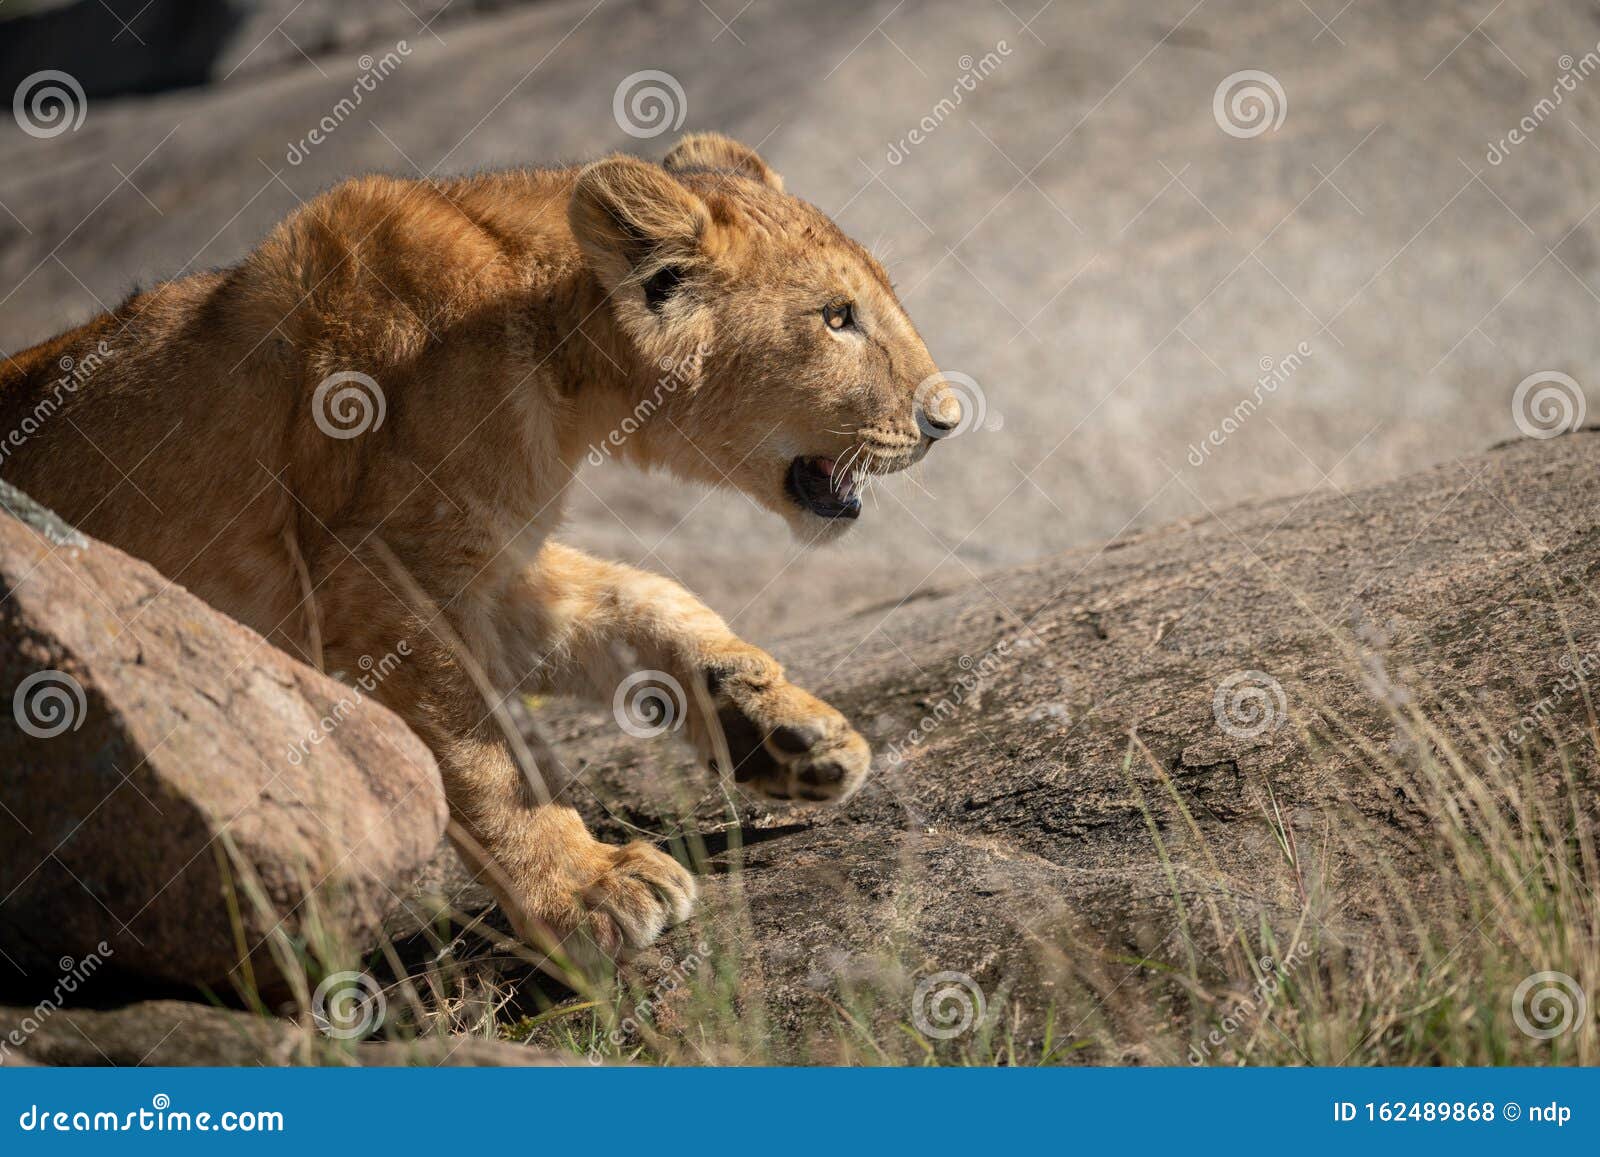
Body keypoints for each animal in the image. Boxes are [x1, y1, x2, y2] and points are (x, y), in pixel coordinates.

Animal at [0, 133, 960, 962]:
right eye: (836, 317)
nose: (947, 420)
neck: (562, 372)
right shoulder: (378, 579)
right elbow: (488, 756)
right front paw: (586, 888)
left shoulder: (495, 569)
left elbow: (641, 597)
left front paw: (780, 727)